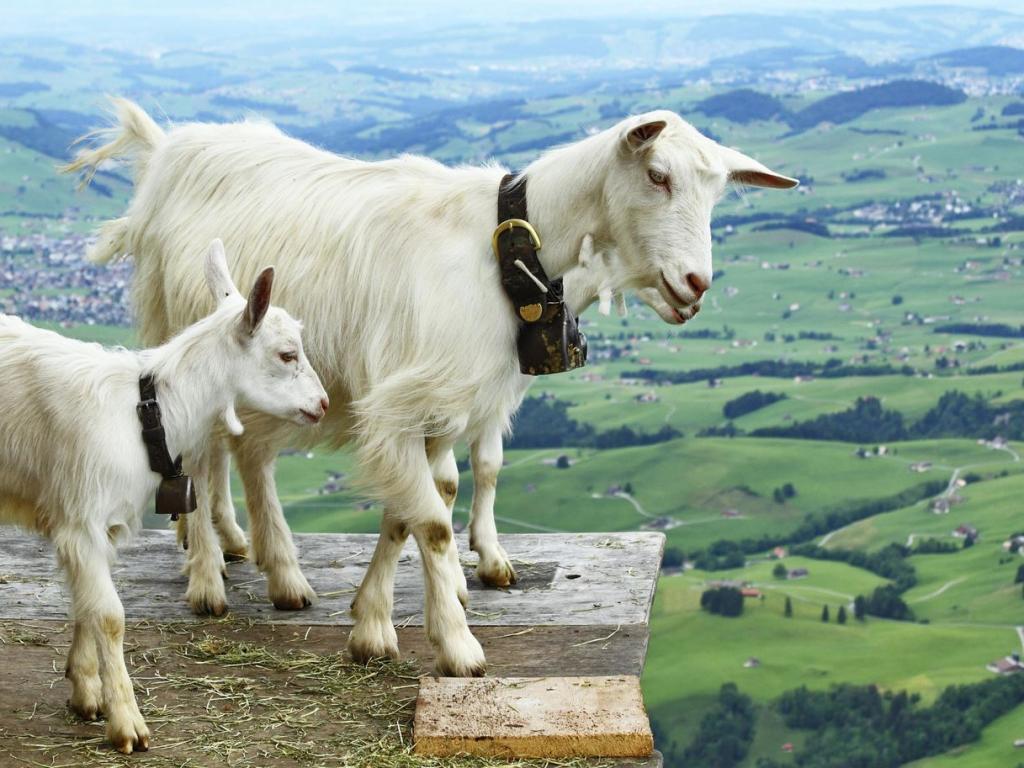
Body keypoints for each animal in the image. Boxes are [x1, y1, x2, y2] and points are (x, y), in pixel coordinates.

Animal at [0, 240, 327, 753]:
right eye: (287, 354)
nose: (323, 404)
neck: (145, 412)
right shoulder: (81, 518)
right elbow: (109, 615)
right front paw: (127, 724)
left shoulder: (101, 525)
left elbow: (85, 604)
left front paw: (85, 691)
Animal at [66, 99, 798, 676]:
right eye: (657, 175)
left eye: (716, 193)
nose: (695, 285)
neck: (500, 251)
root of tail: (168, 146)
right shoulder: (399, 405)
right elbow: (434, 524)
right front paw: (456, 643)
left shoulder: (439, 408)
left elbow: (419, 506)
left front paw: (373, 622)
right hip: (182, 340)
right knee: (202, 454)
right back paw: (207, 575)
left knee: (243, 454)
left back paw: (265, 560)